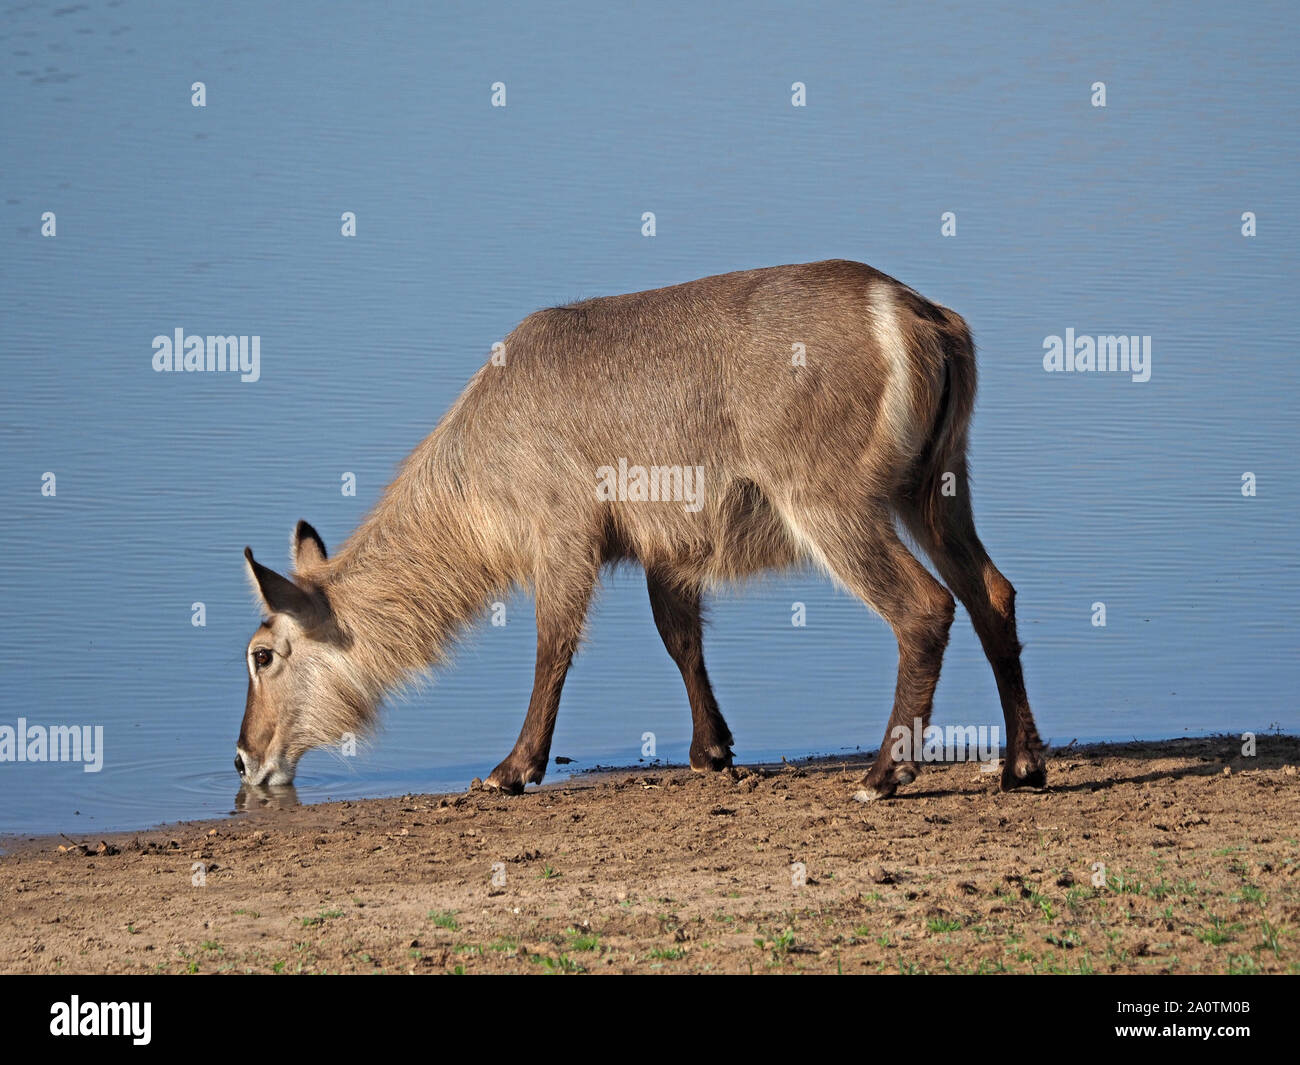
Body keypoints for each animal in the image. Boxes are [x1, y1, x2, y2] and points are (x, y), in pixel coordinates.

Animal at [237, 260, 1046, 800]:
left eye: (261, 654)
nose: (243, 760)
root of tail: (916, 311)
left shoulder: (563, 537)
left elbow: (554, 646)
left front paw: (512, 769)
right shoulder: (669, 548)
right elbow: (678, 637)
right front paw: (710, 749)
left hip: (833, 502)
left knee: (926, 607)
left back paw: (883, 774)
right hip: (936, 490)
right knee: (994, 595)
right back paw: (1022, 765)